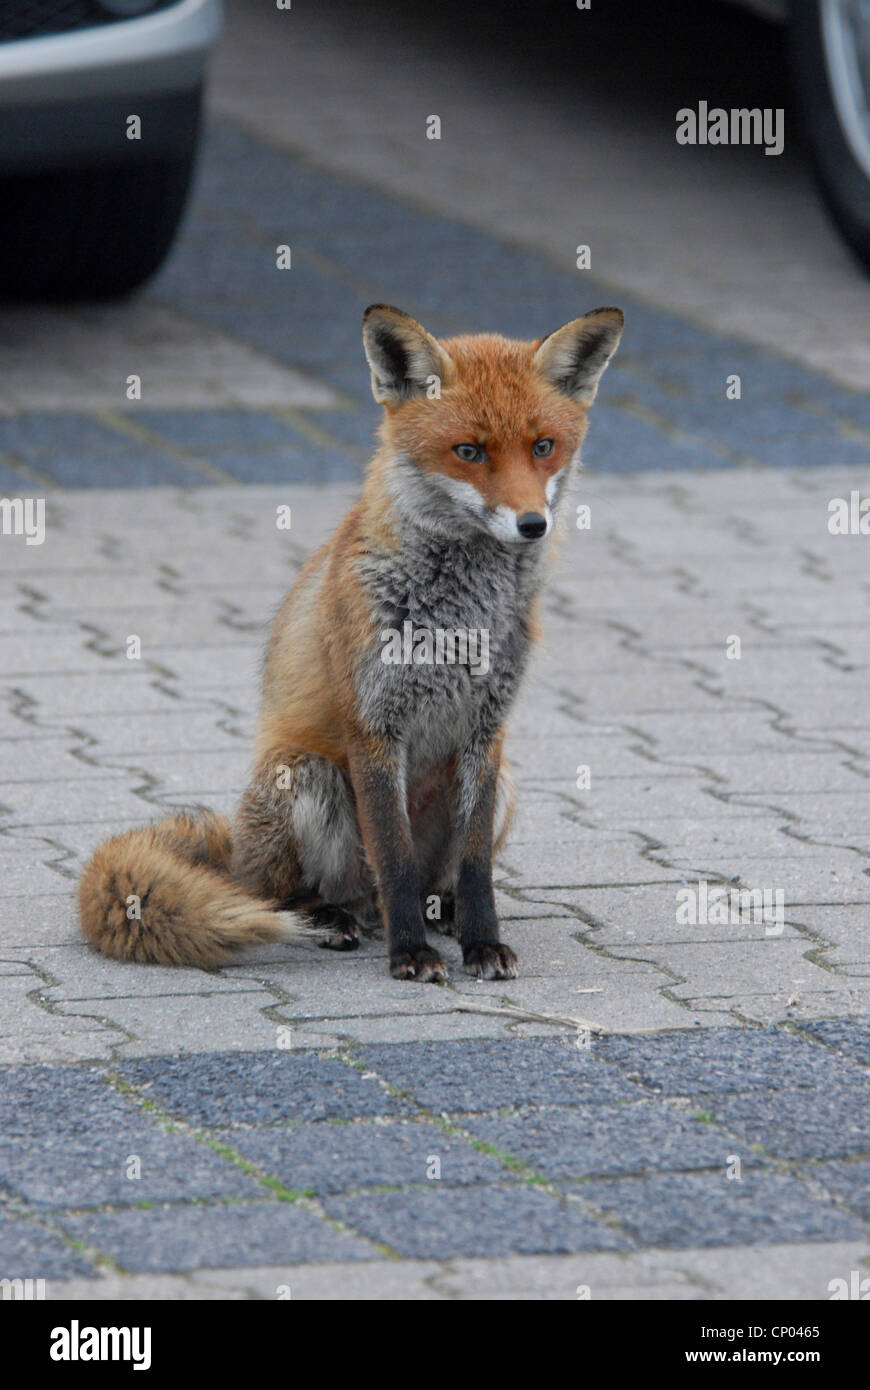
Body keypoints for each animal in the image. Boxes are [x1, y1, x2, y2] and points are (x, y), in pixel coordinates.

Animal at [78, 303, 623, 982]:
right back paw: (332, 919)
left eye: (543, 447)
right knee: (295, 893)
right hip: (306, 779)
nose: (532, 524)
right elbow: (393, 855)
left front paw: (481, 941)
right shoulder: (373, 724)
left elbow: (476, 868)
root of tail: (236, 851)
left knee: (429, 884)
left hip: (505, 787)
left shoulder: (487, 728)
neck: (460, 613)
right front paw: (410, 954)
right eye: (469, 451)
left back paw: (438, 913)